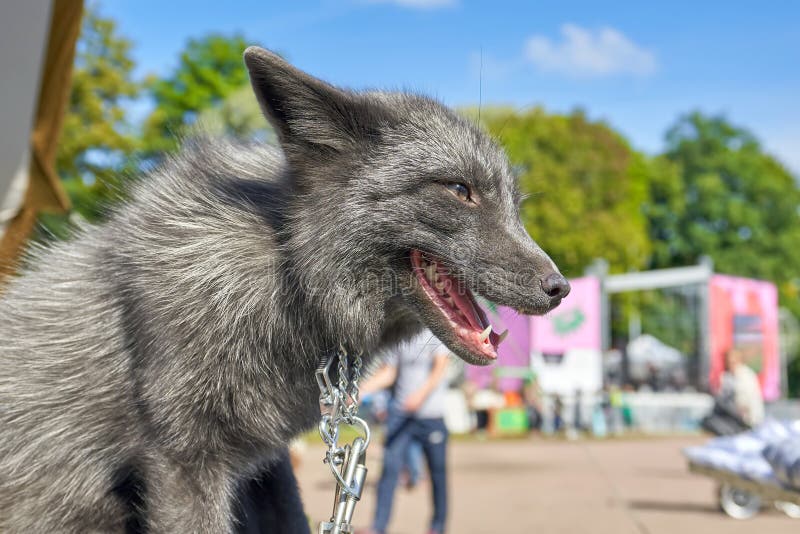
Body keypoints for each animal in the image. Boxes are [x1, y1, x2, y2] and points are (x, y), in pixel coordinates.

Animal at [0, 47, 569, 533]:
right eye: (458, 190)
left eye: (515, 204)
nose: (559, 287)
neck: (288, 272)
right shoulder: (182, 461)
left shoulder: (264, 466)